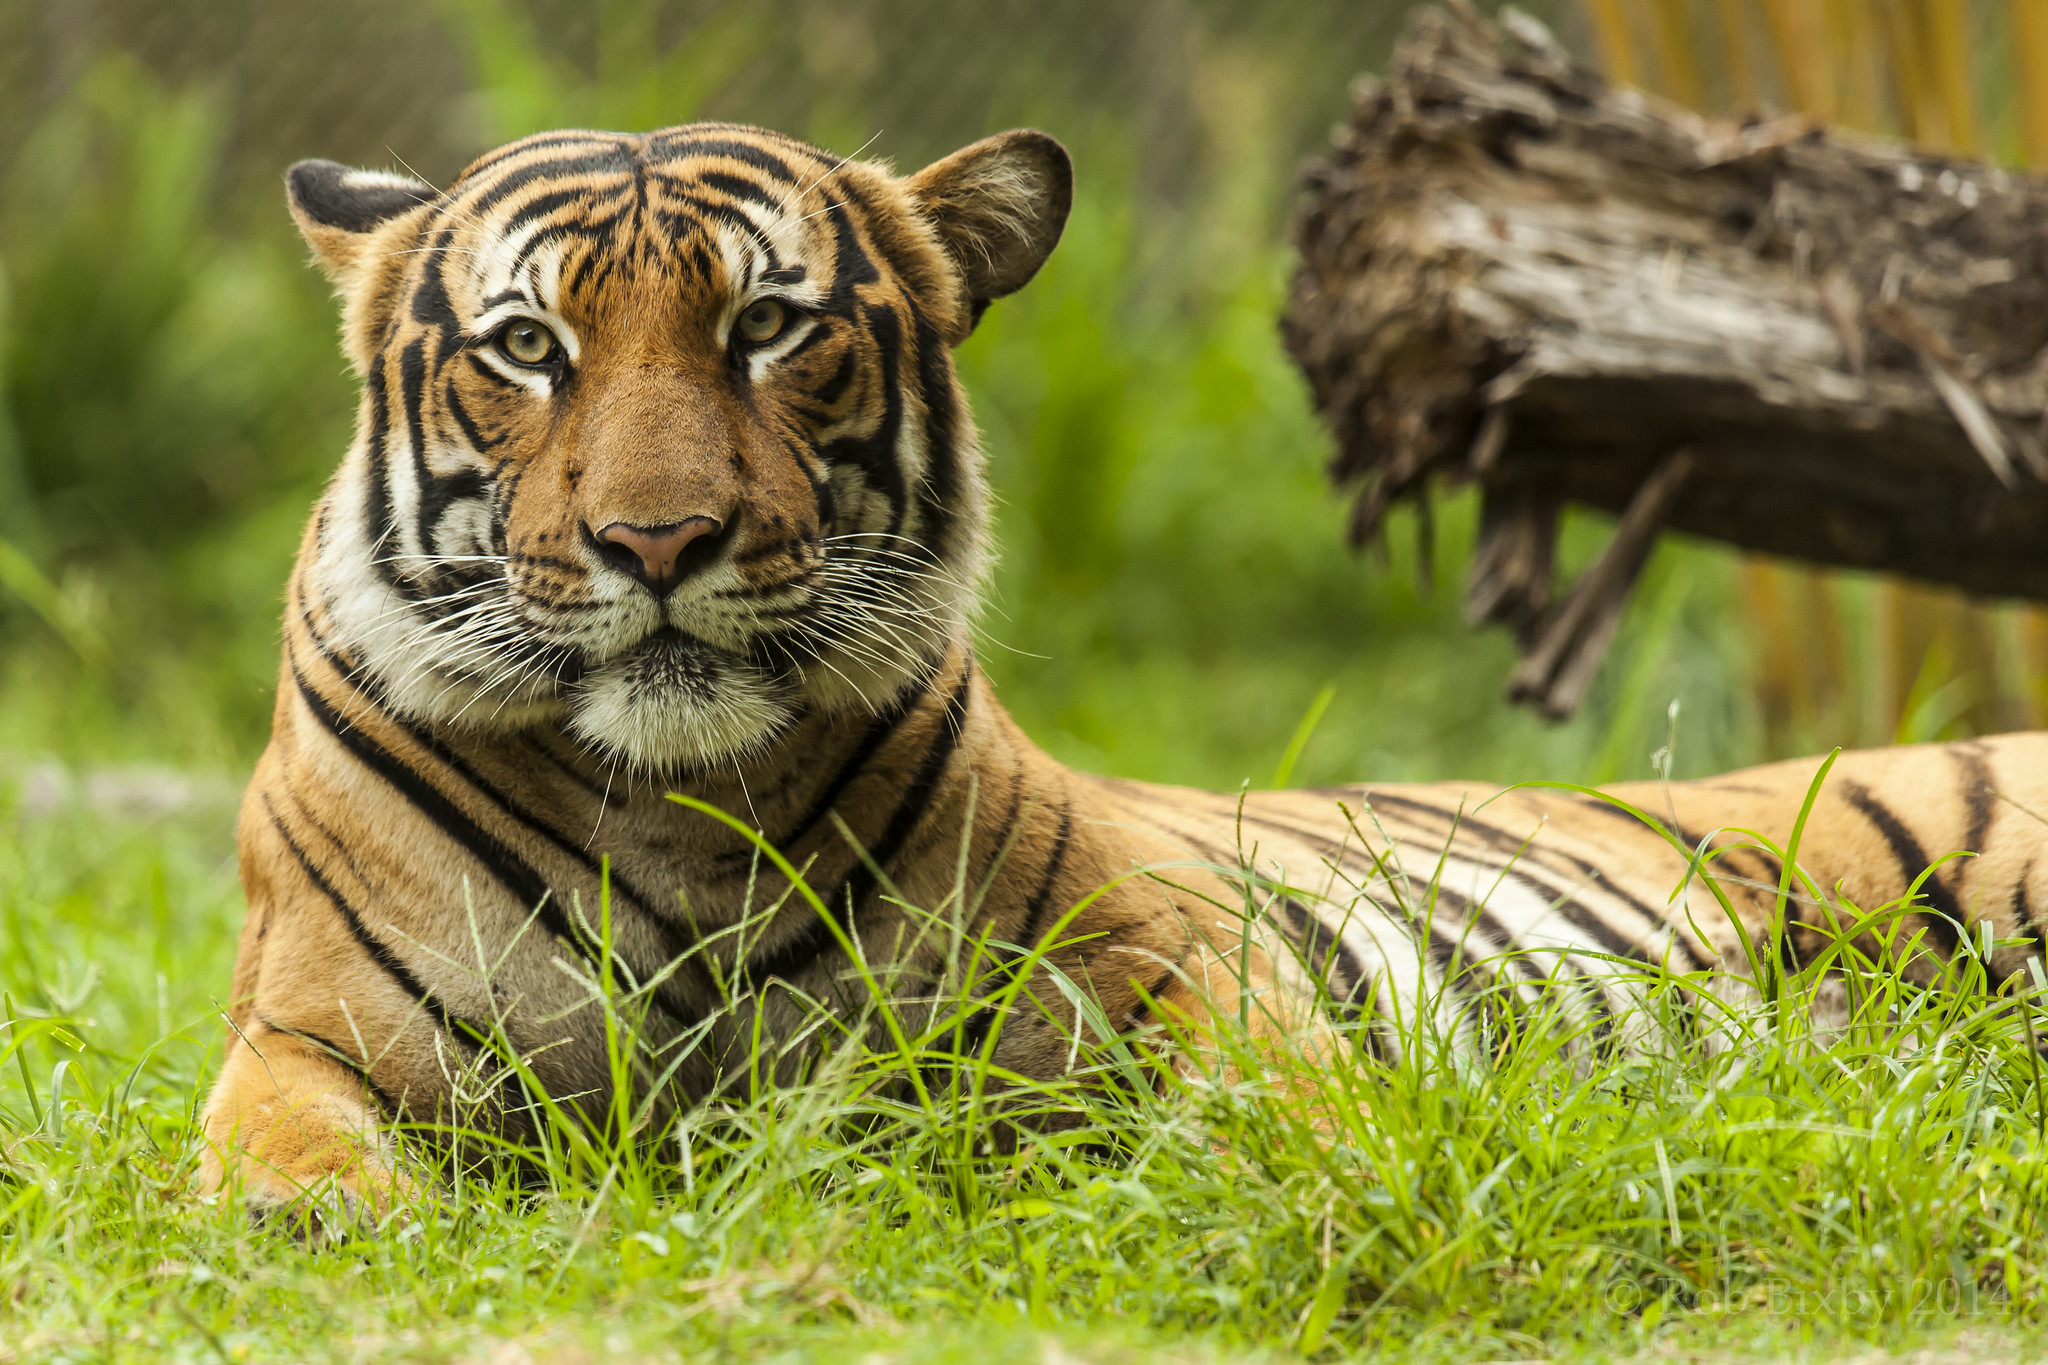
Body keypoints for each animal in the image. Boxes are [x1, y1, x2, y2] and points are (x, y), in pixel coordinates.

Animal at [198, 118, 2048, 1219]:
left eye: (767, 328)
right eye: (530, 347)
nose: (661, 542)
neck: (676, 798)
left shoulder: (1174, 972)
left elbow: (1278, 1118)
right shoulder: (311, 1030)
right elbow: (285, 1167)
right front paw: (324, 1243)